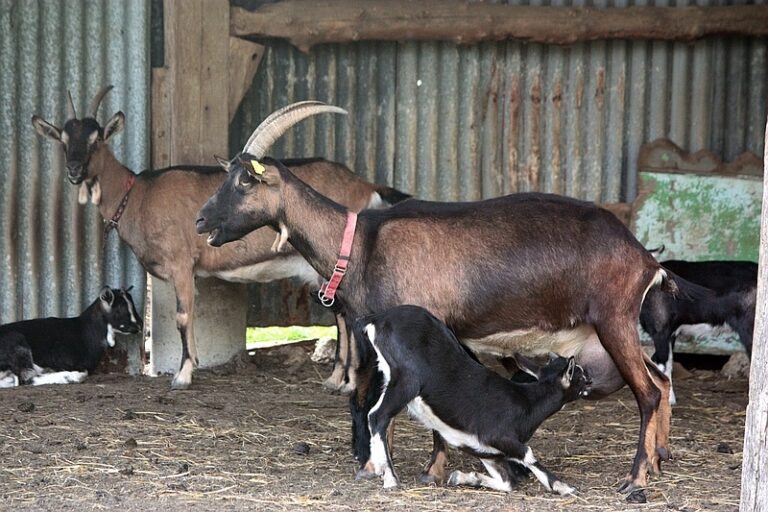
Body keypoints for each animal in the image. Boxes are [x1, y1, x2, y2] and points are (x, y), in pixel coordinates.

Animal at [0, 287, 141, 387]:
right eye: (120, 309)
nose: (140, 325)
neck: (83, 330)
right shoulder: (61, 358)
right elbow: (84, 371)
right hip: (18, 344)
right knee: (27, 378)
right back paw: (70, 377)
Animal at [31, 88, 409, 391]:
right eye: (63, 140)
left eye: (96, 139)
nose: (74, 170)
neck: (137, 194)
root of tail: (365, 185)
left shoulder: (181, 264)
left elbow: (184, 317)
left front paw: (183, 376)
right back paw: (337, 379)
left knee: (345, 318)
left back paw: (343, 381)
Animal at [353, 305, 589, 494]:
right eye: (579, 375)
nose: (590, 381)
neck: (527, 402)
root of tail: (378, 318)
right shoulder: (498, 435)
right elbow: (528, 454)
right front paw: (564, 487)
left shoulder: (483, 449)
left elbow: (507, 482)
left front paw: (463, 477)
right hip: (407, 380)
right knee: (377, 415)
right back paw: (390, 478)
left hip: (389, 376)